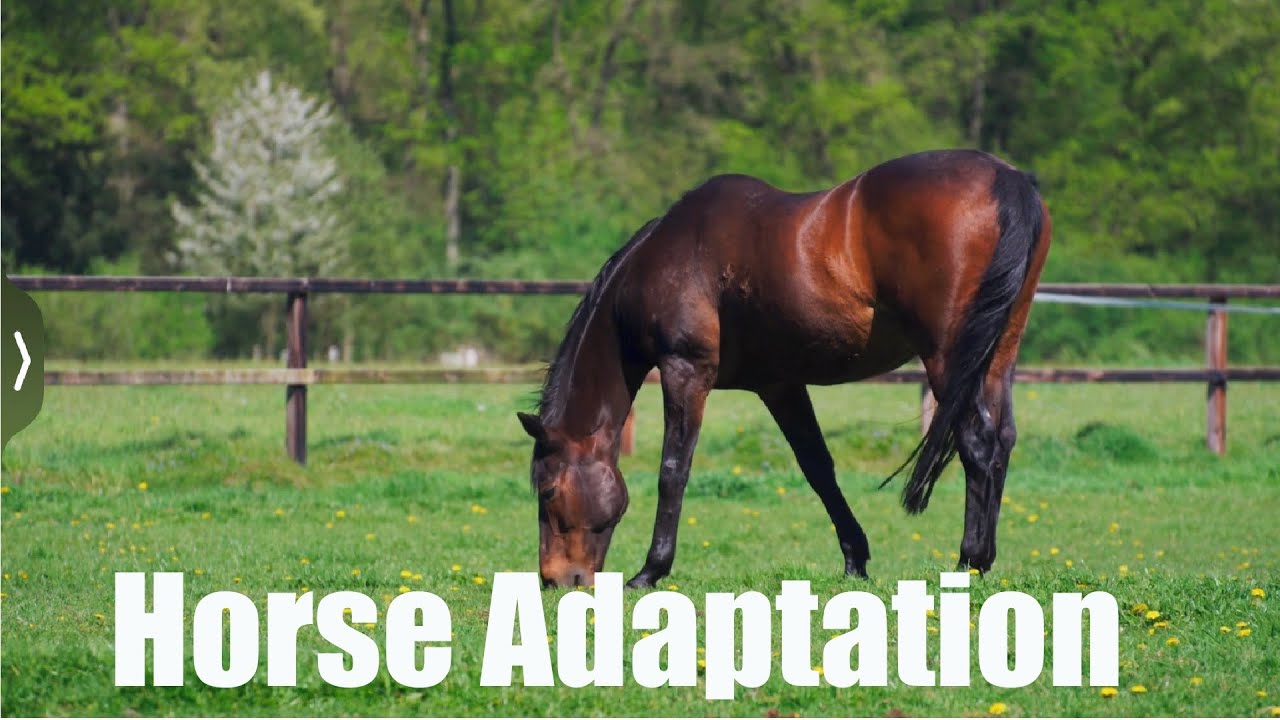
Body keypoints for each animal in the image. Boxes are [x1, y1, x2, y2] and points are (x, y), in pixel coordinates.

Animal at [517, 148, 1052, 589]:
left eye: (546, 491)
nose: (556, 580)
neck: (671, 256)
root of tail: (1007, 179)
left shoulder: (685, 370)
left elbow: (673, 470)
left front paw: (650, 571)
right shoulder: (781, 385)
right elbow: (818, 469)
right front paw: (855, 561)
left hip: (948, 358)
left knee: (977, 443)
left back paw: (969, 563)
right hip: (997, 352)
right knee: (1002, 439)